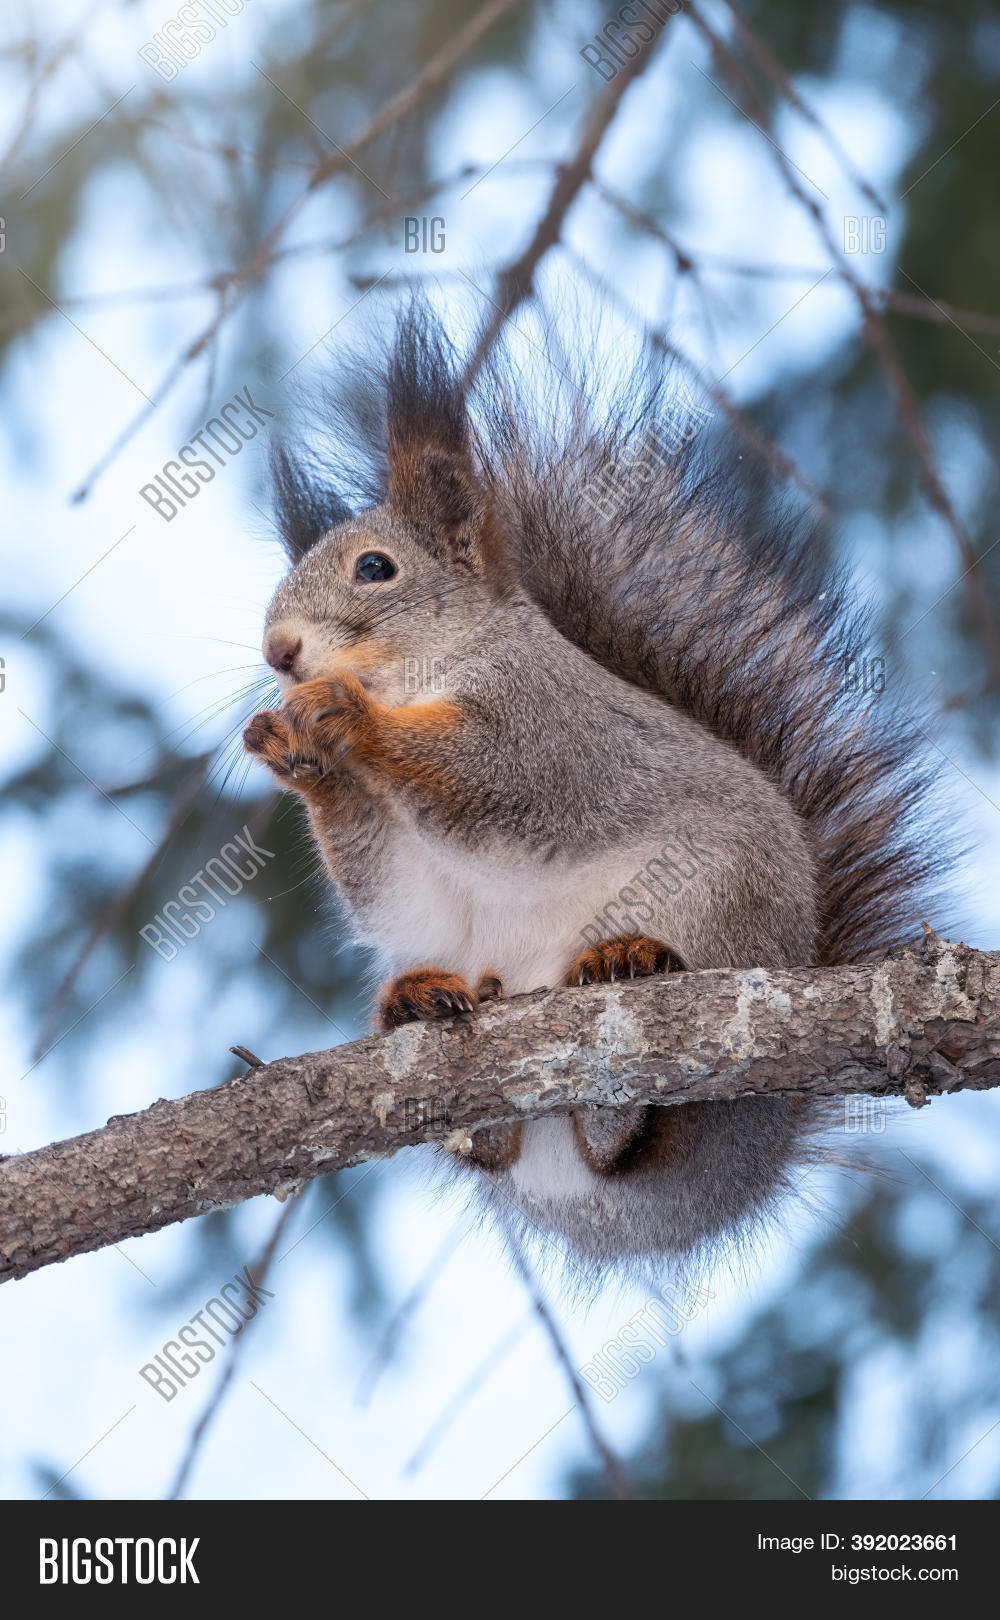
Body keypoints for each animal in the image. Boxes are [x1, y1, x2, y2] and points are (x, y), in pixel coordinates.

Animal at [242, 304, 942, 1276]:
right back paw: (428, 1017)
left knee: (646, 1126)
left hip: (716, 917)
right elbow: (387, 881)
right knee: (494, 1137)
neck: (431, 671)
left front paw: (348, 717)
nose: (279, 653)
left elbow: (495, 781)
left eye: (375, 569)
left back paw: (626, 979)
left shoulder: (550, 728)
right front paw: (293, 753)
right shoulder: (404, 862)